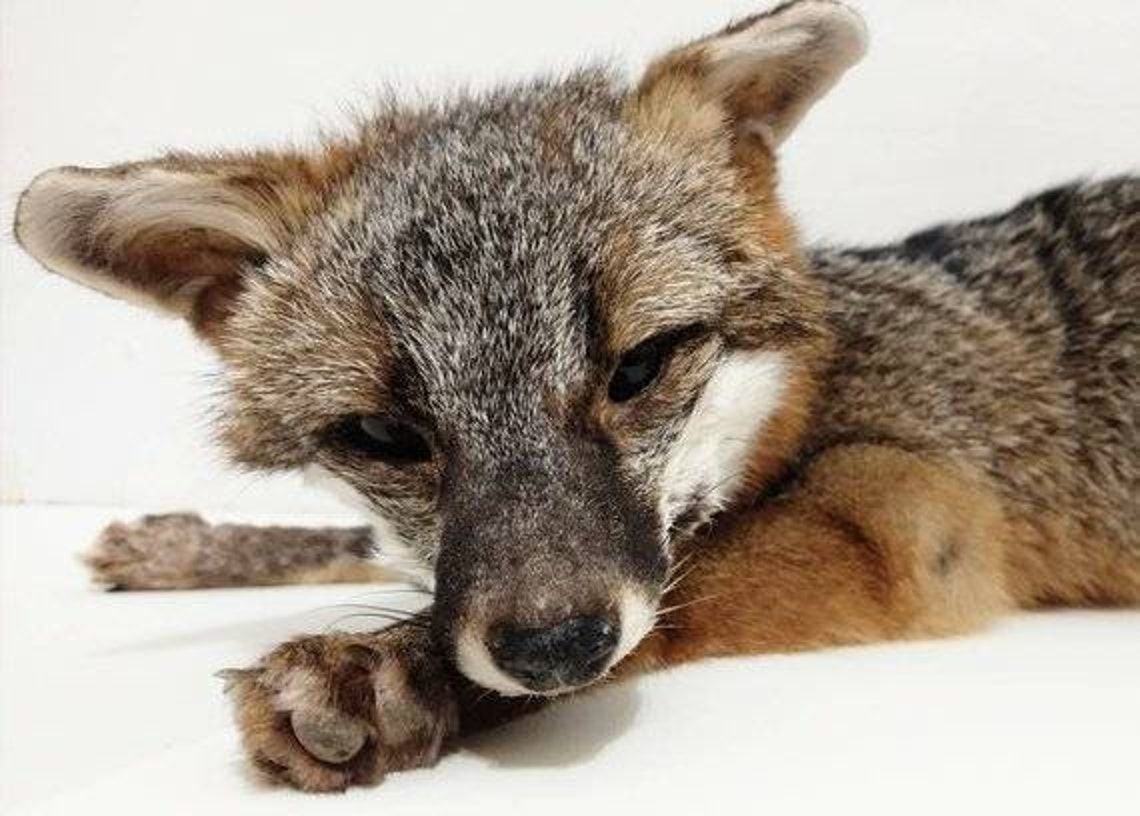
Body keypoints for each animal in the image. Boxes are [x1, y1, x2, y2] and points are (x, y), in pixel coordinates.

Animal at [12, 0, 1139, 793]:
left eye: (639, 367)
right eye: (381, 434)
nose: (552, 652)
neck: (830, 368)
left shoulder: (908, 513)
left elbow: (687, 587)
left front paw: (390, 672)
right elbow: (365, 545)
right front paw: (185, 548)